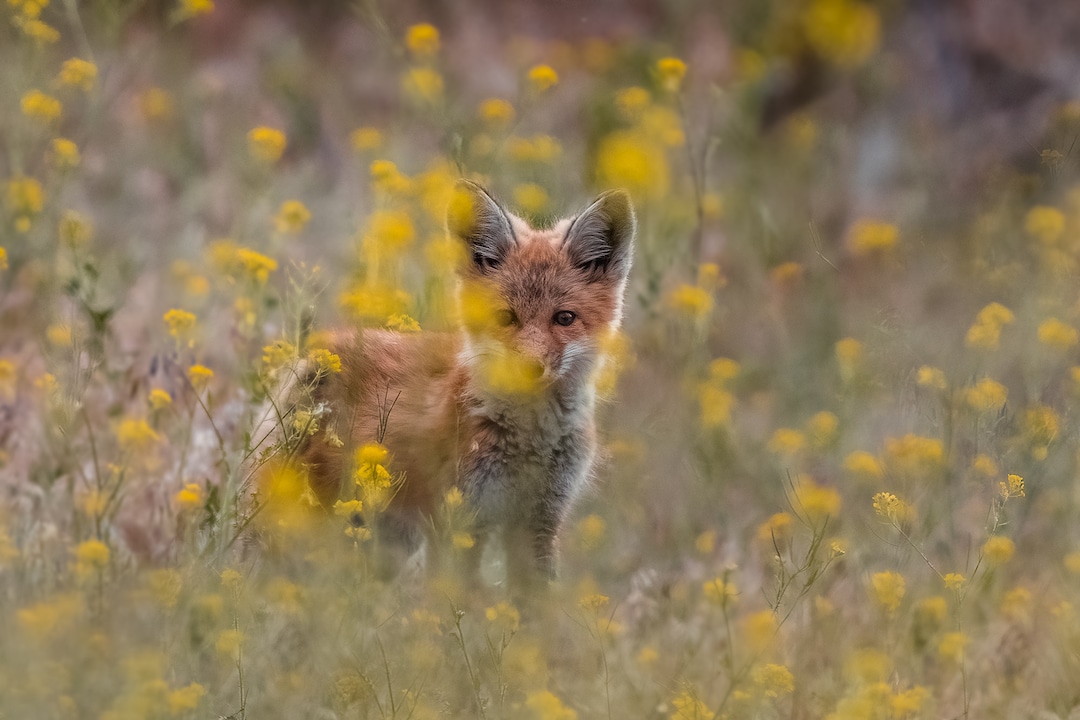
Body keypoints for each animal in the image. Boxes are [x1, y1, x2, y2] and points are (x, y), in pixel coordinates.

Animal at [270, 180, 635, 585]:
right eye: (505, 317)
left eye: (565, 318)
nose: (529, 369)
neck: (530, 441)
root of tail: (322, 349)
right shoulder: (461, 520)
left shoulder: (539, 521)